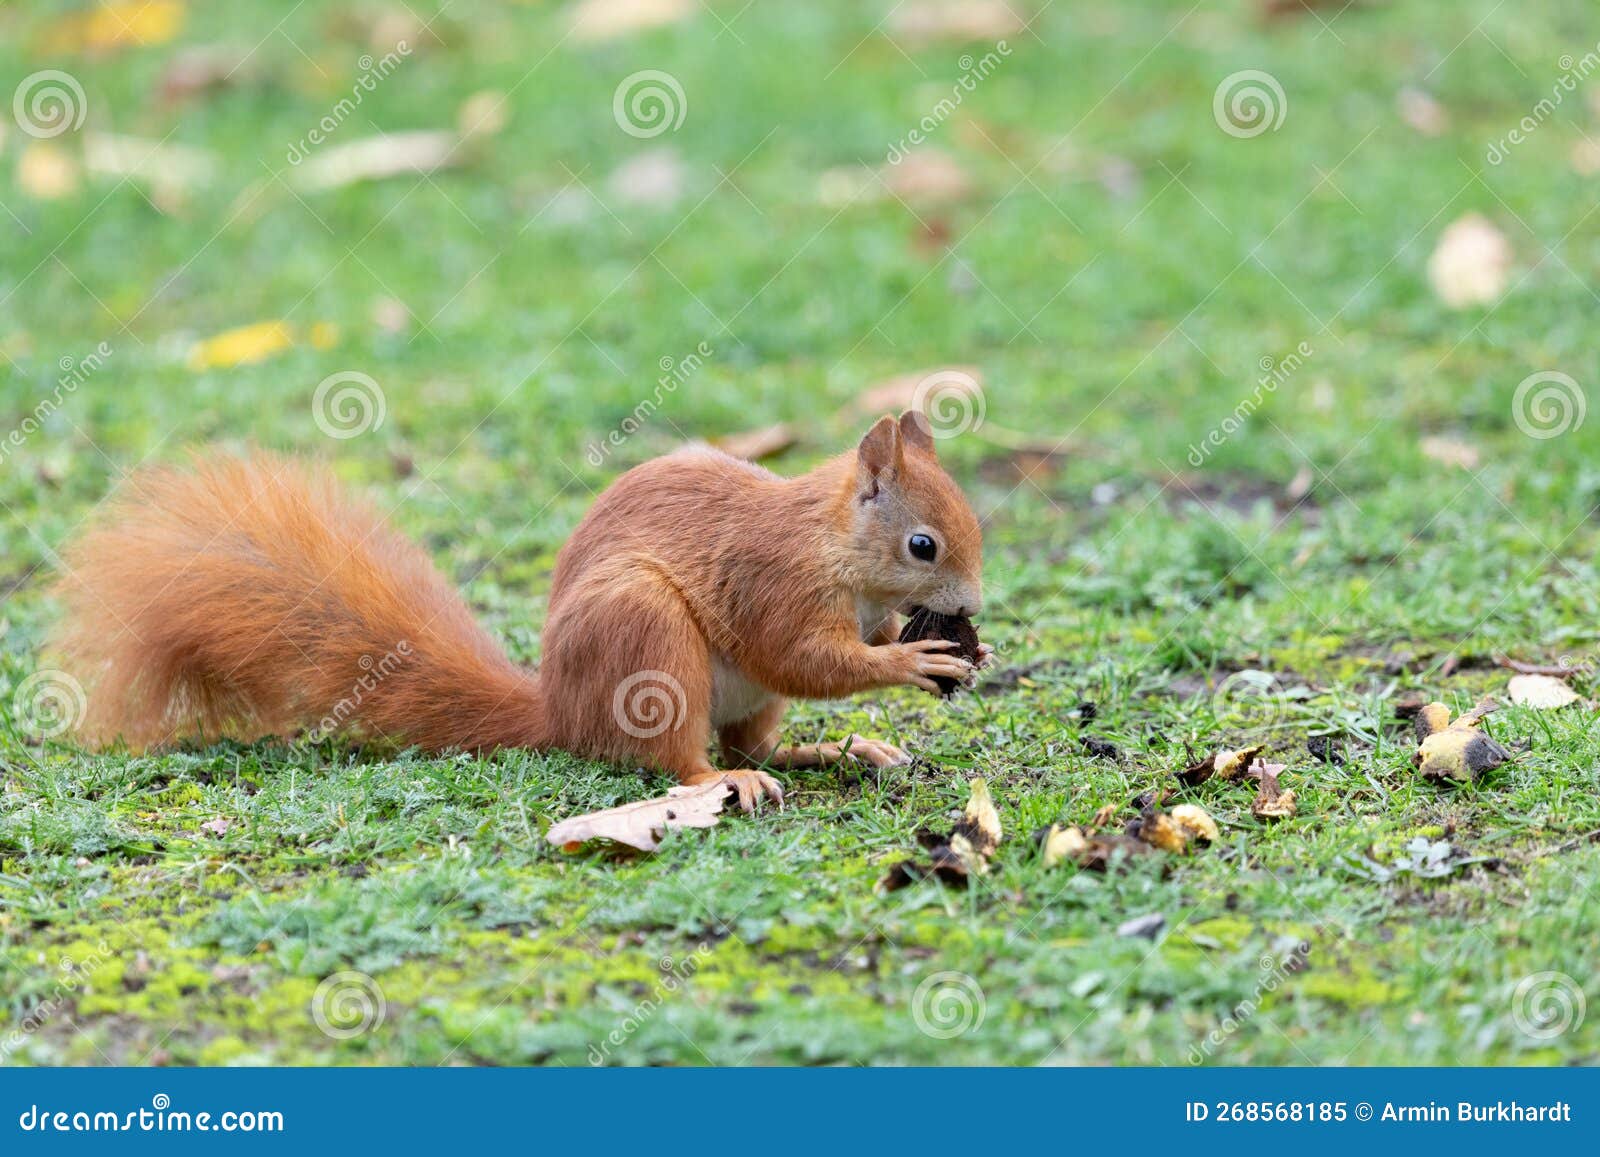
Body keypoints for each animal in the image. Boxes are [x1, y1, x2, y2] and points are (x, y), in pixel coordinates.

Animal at [49, 410, 988, 811]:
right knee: (684, 758)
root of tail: (560, 712)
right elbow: (802, 655)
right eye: (924, 545)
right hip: (647, 640)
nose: (974, 606)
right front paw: (910, 659)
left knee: (753, 739)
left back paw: (834, 749)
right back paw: (724, 781)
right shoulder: (775, 581)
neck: (835, 545)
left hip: (737, 699)